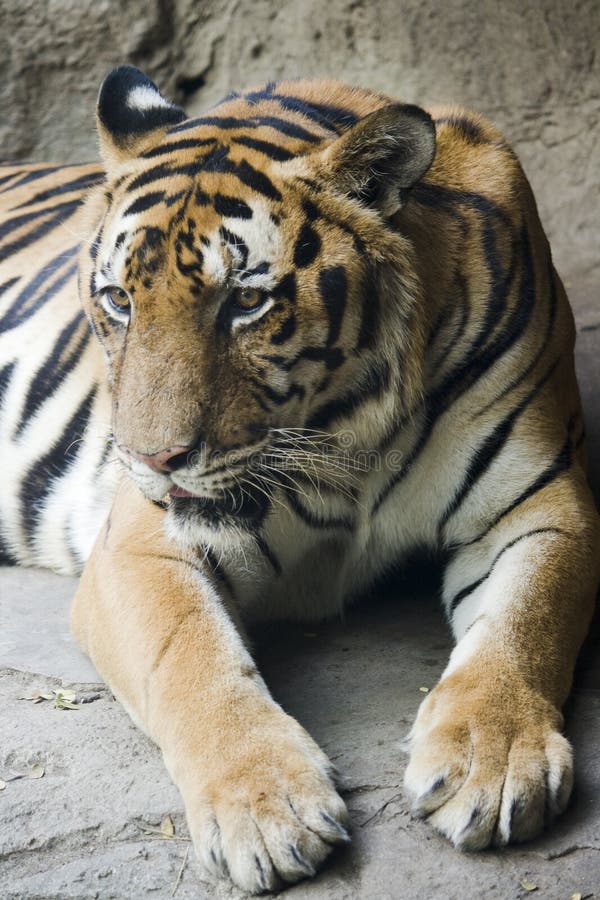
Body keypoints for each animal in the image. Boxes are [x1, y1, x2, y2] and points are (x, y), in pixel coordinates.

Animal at [0, 64, 598, 893]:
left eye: (245, 302)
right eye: (119, 299)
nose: (152, 460)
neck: (346, 438)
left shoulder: (541, 501)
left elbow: (525, 623)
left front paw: (493, 759)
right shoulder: (139, 545)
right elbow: (191, 660)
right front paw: (264, 808)